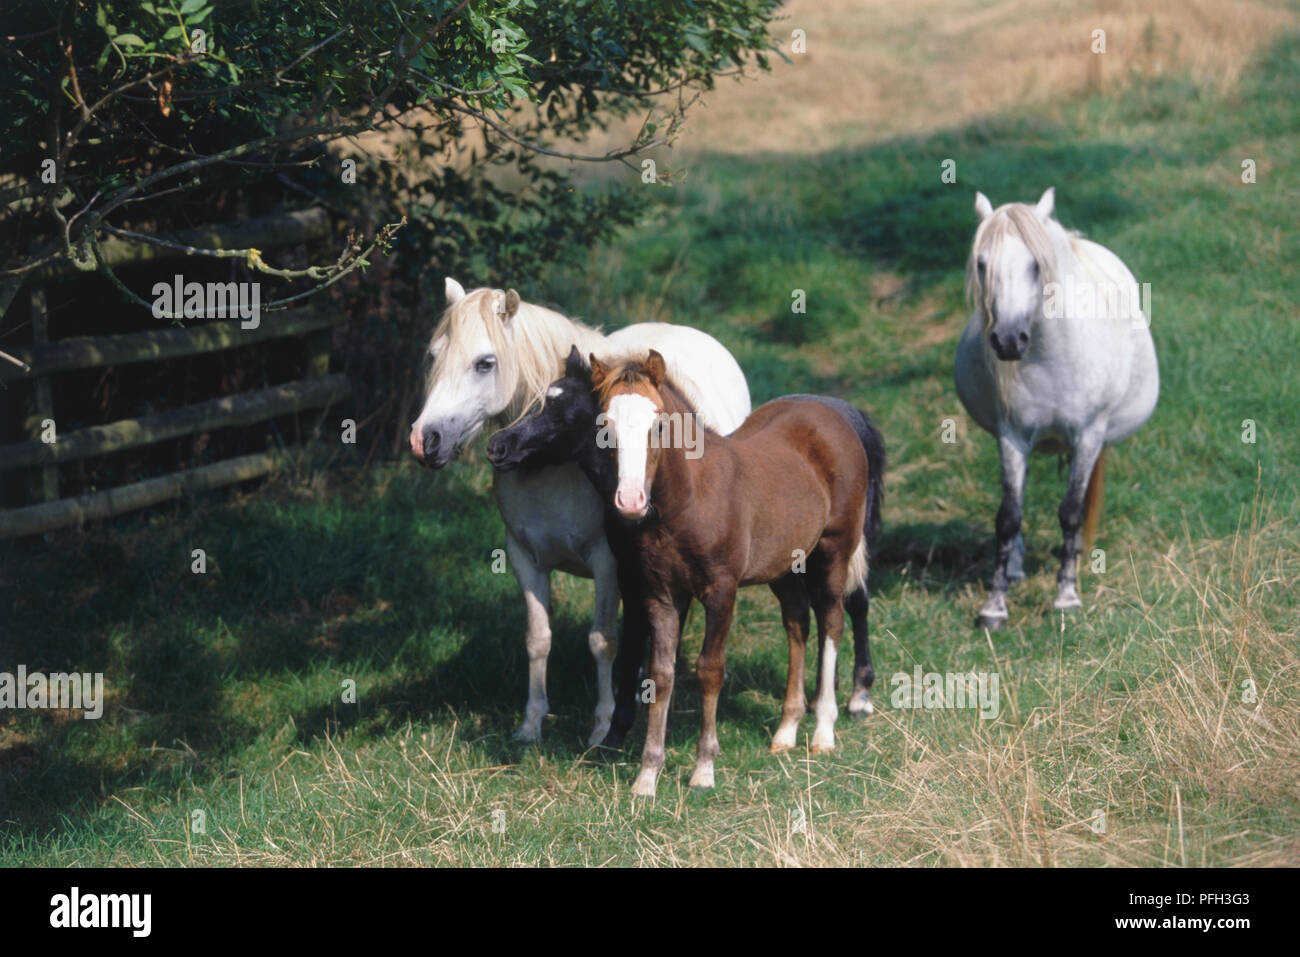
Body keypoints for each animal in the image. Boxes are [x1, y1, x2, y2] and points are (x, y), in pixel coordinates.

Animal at [410, 278, 751, 745]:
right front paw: (531, 724)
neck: (555, 470)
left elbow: (602, 640)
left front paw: (602, 727)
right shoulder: (524, 557)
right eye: (432, 355)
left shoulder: (608, 562)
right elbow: (538, 638)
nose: (425, 440)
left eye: (485, 363)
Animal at [587, 350, 874, 797]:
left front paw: (704, 769)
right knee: (797, 622)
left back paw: (823, 731)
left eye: (659, 424)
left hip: (834, 551)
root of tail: (834, 416)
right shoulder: (662, 596)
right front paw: (647, 776)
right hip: (785, 567)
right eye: (605, 425)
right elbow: (661, 675)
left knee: (832, 621)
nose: (630, 501)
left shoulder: (721, 591)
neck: (688, 501)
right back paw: (786, 730)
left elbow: (710, 670)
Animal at [954, 187, 1159, 628]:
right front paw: (994, 605)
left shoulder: (1089, 436)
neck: (1049, 357)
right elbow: (1008, 516)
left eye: (1035, 264)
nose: (1008, 340)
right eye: (982, 264)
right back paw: (1015, 568)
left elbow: (1070, 512)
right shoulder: (1011, 436)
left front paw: (1066, 595)